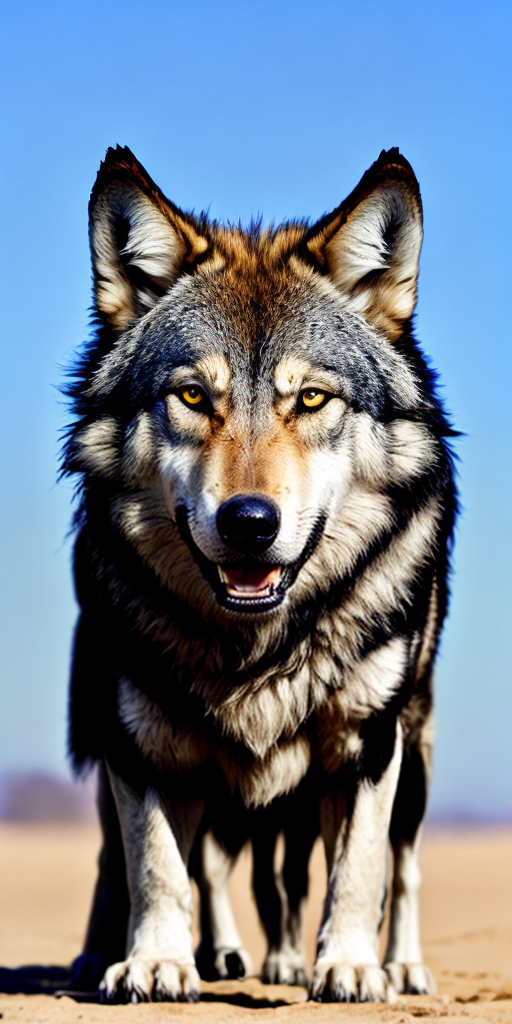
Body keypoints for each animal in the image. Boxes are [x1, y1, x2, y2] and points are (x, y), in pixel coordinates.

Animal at [64, 145, 456, 1003]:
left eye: (310, 398)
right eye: (191, 395)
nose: (250, 523)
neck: (256, 647)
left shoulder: (369, 740)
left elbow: (361, 867)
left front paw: (349, 966)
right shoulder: (140, 739)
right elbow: (155, 863)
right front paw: (156, 961)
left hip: (411, 753)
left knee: (400, 866)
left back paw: (398, 965)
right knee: (164, 860)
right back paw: (160, 954)